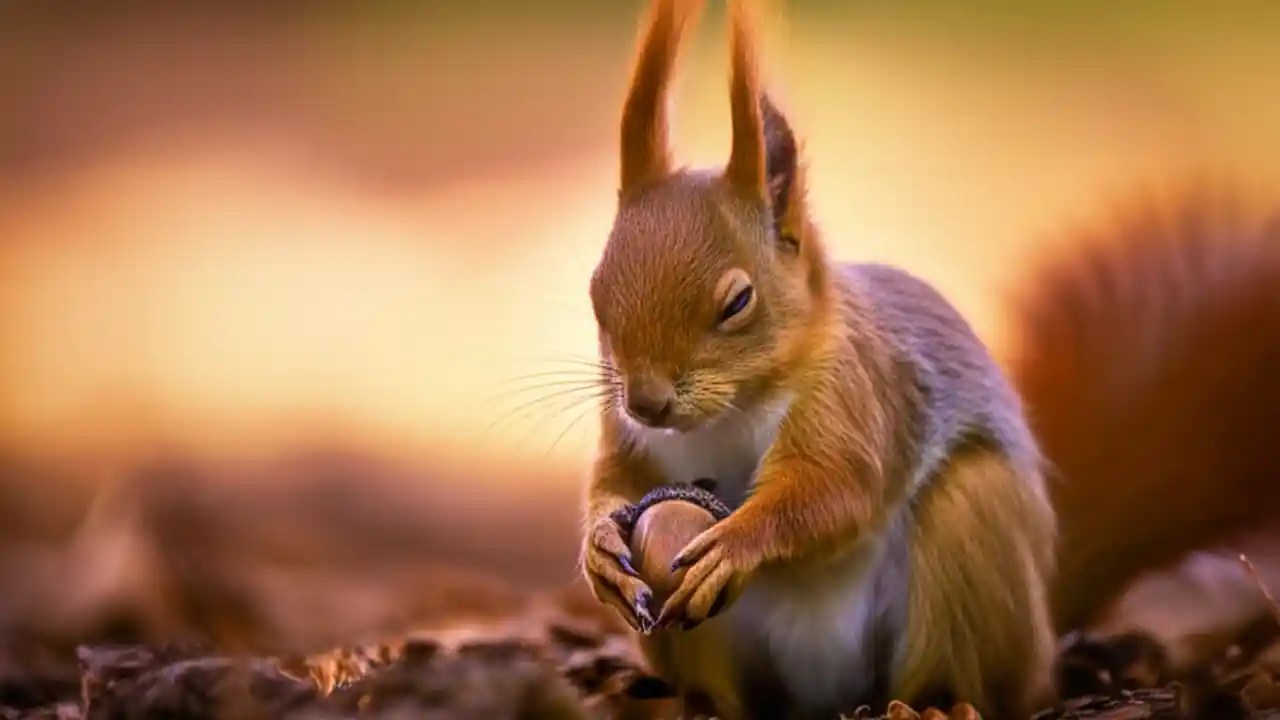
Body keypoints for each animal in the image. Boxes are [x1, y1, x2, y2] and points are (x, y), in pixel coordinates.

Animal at [579, 0, 1280, 718]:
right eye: (596, 290)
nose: (647, 402)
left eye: (738, 301)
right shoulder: (630, 438)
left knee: (971, 670)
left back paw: (938, 704)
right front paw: (598, 545)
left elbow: (835, 492)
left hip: (973, 530)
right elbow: (616, 480)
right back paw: (692, 703)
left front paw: (738, 542)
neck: (736, 406)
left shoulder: (860, 396)